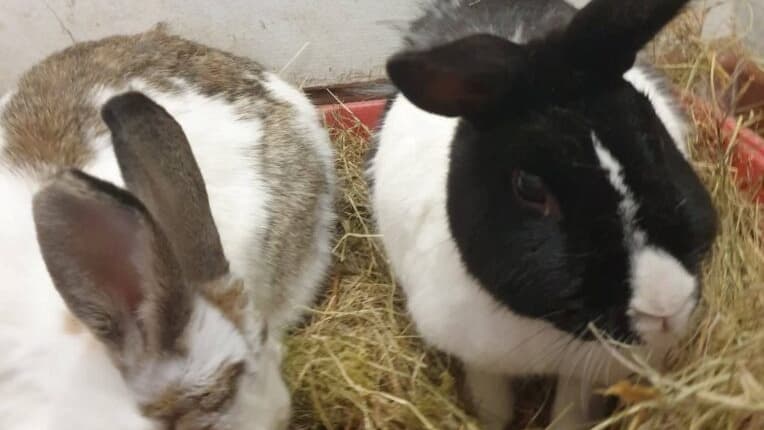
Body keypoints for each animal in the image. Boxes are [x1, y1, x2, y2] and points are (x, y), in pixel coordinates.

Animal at [368, 0, 718, 428]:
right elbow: (492, 405)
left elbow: (569, 414)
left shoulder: (586, 371)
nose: (666, 306)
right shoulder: (477, 358)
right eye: (529, 188)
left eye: (654, 139)